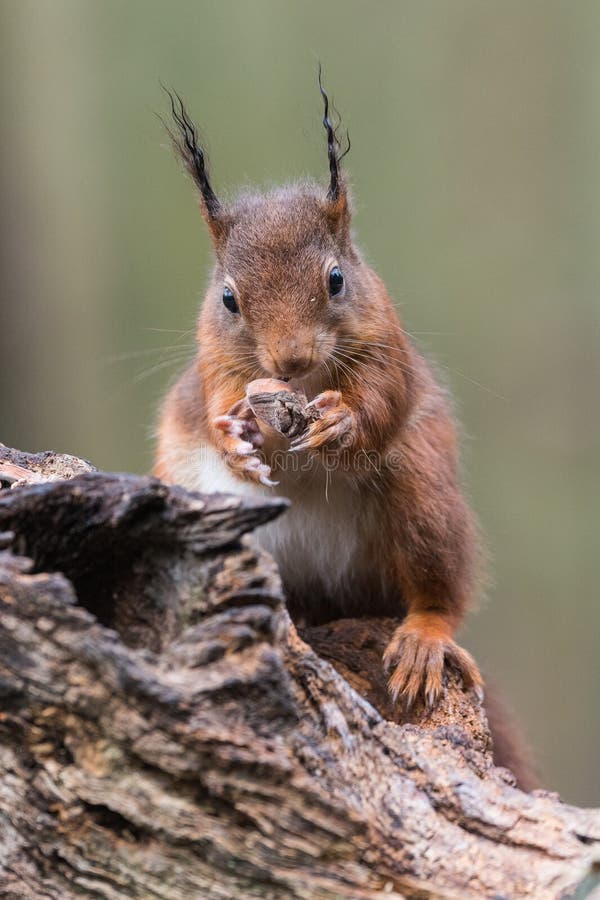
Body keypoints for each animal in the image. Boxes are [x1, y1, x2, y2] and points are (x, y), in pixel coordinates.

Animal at [154, 77, 484, 711]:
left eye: (336, 280)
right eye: (228, 299)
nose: (292, 359)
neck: (302, 384)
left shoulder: (386, 345)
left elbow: (383, 398)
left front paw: (343, 422)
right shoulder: (215, 360)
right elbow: (215, 398)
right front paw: (233, 438)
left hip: (421, 495)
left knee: (440, 589)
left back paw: (424, 639)